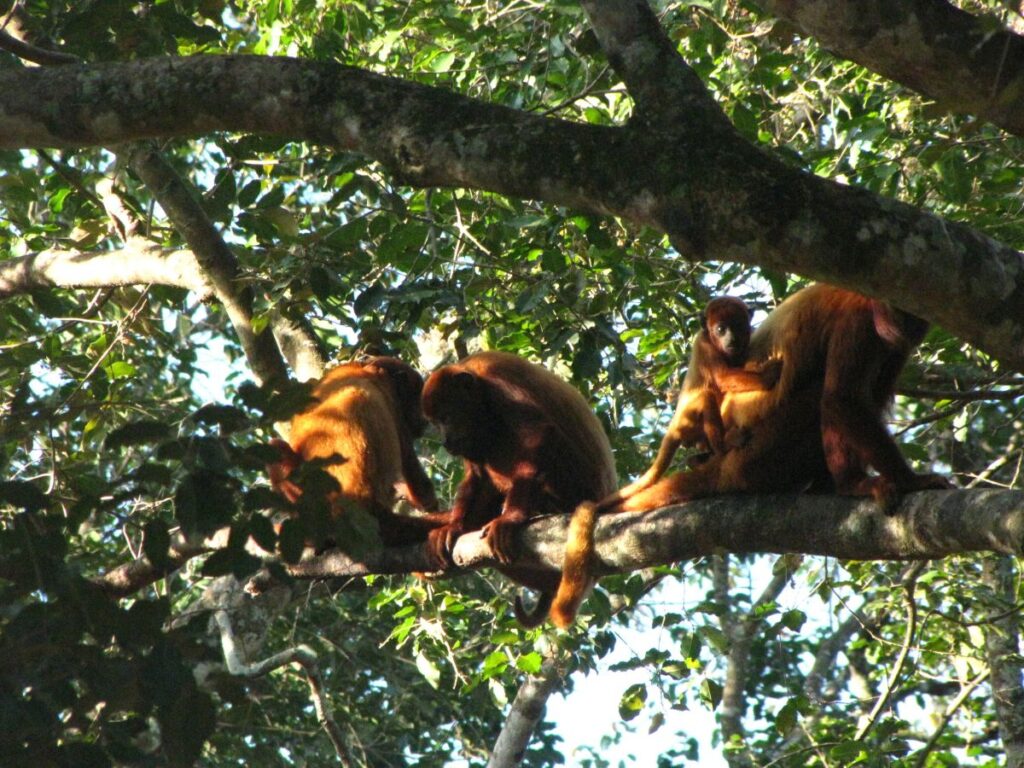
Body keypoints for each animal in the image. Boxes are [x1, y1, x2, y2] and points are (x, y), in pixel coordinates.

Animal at [266, 356, 448, 556]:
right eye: (416, 401)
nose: (424, 419)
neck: (366, 369)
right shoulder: (391, 401)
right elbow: (421, 489)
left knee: (275, 446)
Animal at [421, 351, 618, 628]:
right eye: (435, 423)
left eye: (446, 417)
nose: (446, 441)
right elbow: (477, 476)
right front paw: (455, 526)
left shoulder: (502, 389)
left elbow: (539, 434)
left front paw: (511, 519)